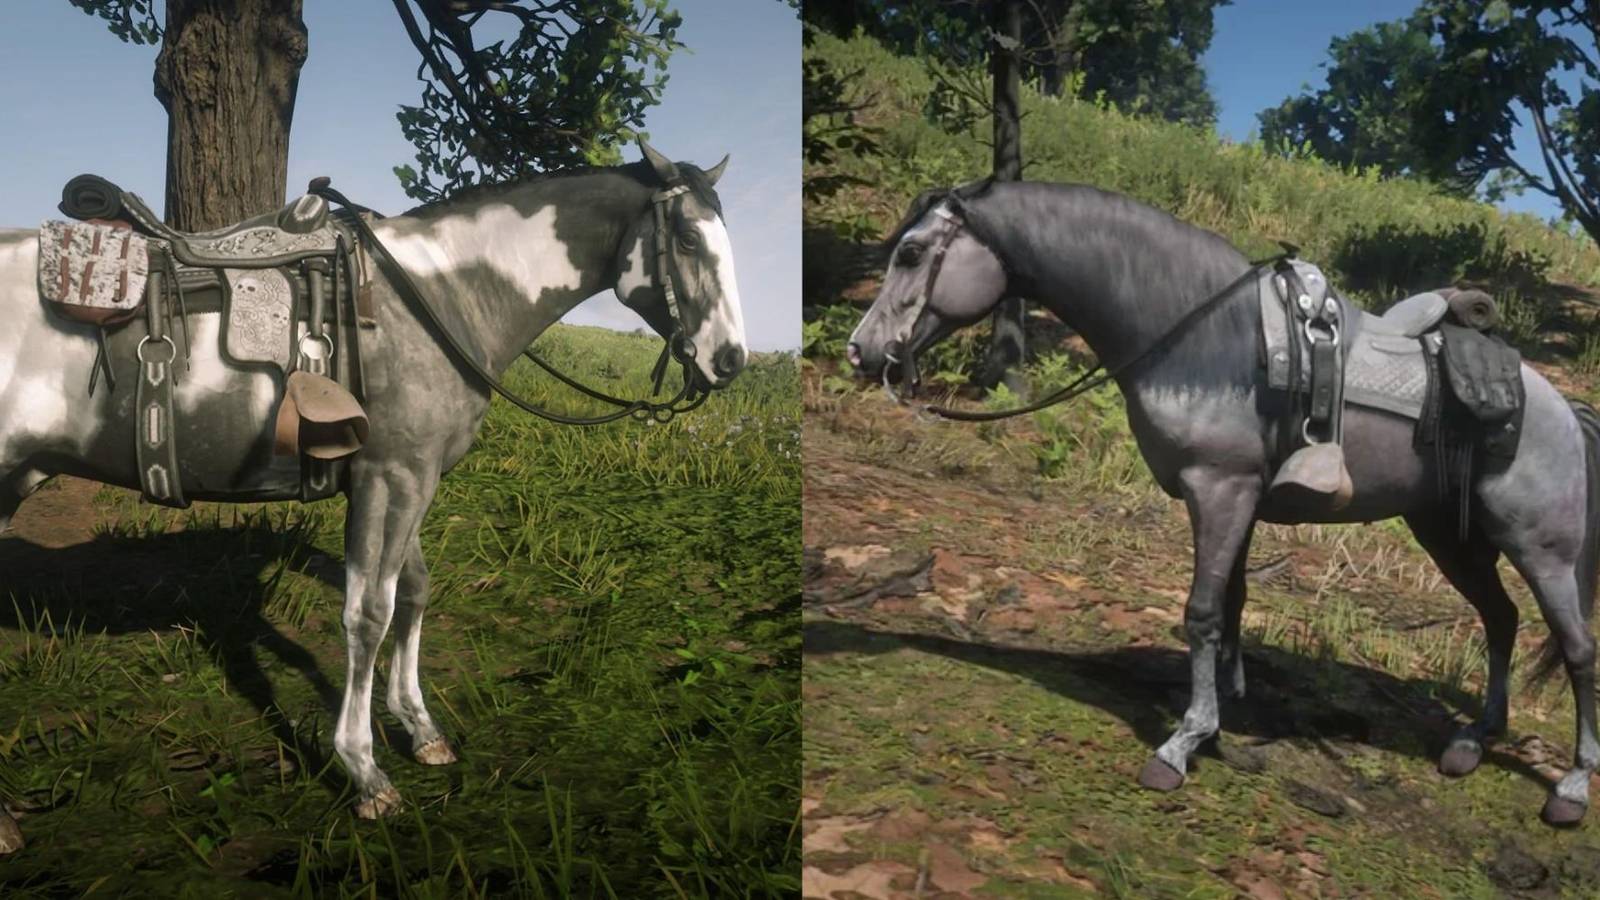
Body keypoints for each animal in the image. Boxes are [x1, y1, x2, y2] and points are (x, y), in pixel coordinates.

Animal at [0, 140, 748, 832]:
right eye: (687, 239)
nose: (731, 360)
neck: (438, 298)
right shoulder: (393, 476)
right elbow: (369, 614)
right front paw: (363, 770)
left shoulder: (408, 476)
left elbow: (414, 591)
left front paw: (419, 727)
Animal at [845, 177, 1600, 827]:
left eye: (911, 253)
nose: (862, 352)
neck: (1206, 336)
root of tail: (1564, 411)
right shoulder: (1232, 501)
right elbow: (1231, 601)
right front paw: (1223, 714)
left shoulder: (1220, 488)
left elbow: (1203, 612)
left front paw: (1182, 742)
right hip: (1451, 535)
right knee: (1502, 621)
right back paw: (1473, 740)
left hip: (1541, 549)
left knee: (1577, 648)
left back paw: (1571, 786)